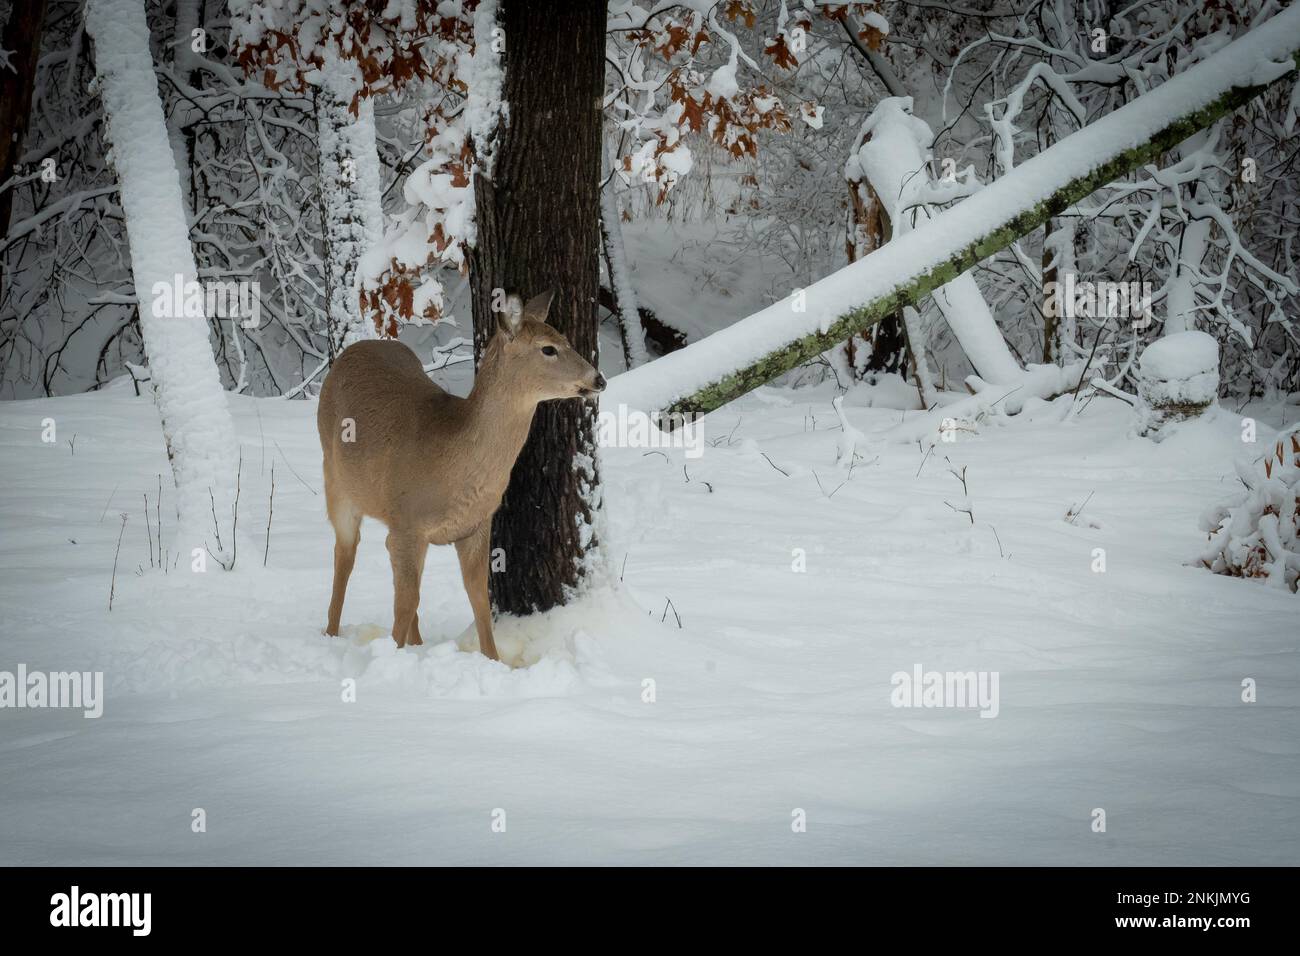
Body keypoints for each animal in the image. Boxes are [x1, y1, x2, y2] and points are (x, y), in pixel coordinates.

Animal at [316, 290, 605, 662]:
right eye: (548, 349)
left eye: (567, 339)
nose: (599, 379)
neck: (454, 468)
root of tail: (350, 352)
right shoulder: (408, 521)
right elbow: (405, 601)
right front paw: (391, 659)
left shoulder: (475, 525)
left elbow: (477, 596)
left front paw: (492, 660)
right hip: (335, 480)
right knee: (345, 554)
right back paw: (331, 633)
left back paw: (417, 644)